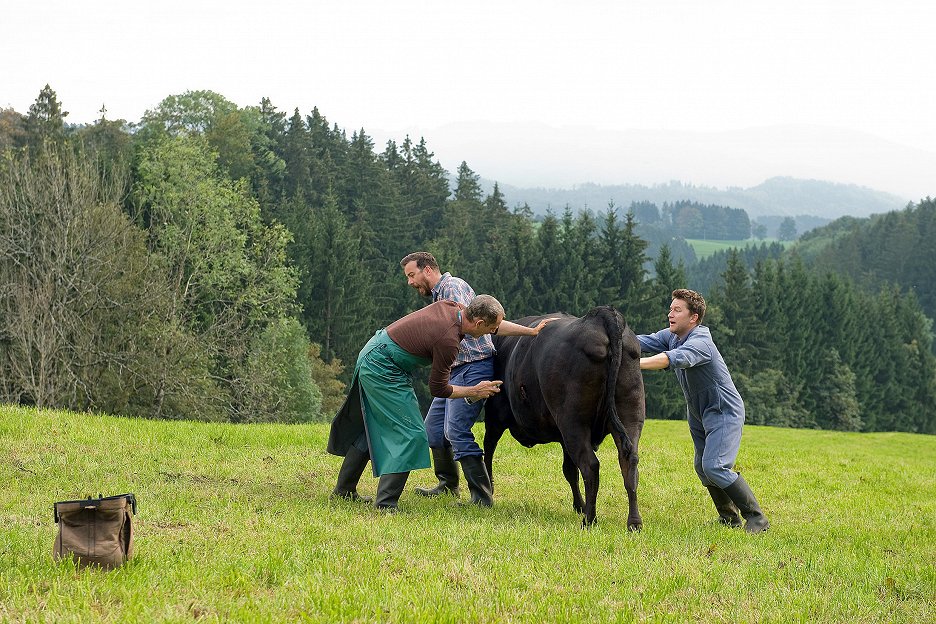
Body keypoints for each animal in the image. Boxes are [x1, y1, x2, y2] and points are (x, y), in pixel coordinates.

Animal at [482, 306, 645, 529]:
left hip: (573, 422)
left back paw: (589, 520)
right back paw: (634, 522)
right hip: (630, 414)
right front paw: (579, 505)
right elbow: (570, 470)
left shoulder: (494, 416)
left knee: (590, 466)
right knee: (629, 461)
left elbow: (488, 451)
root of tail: (602, 316)